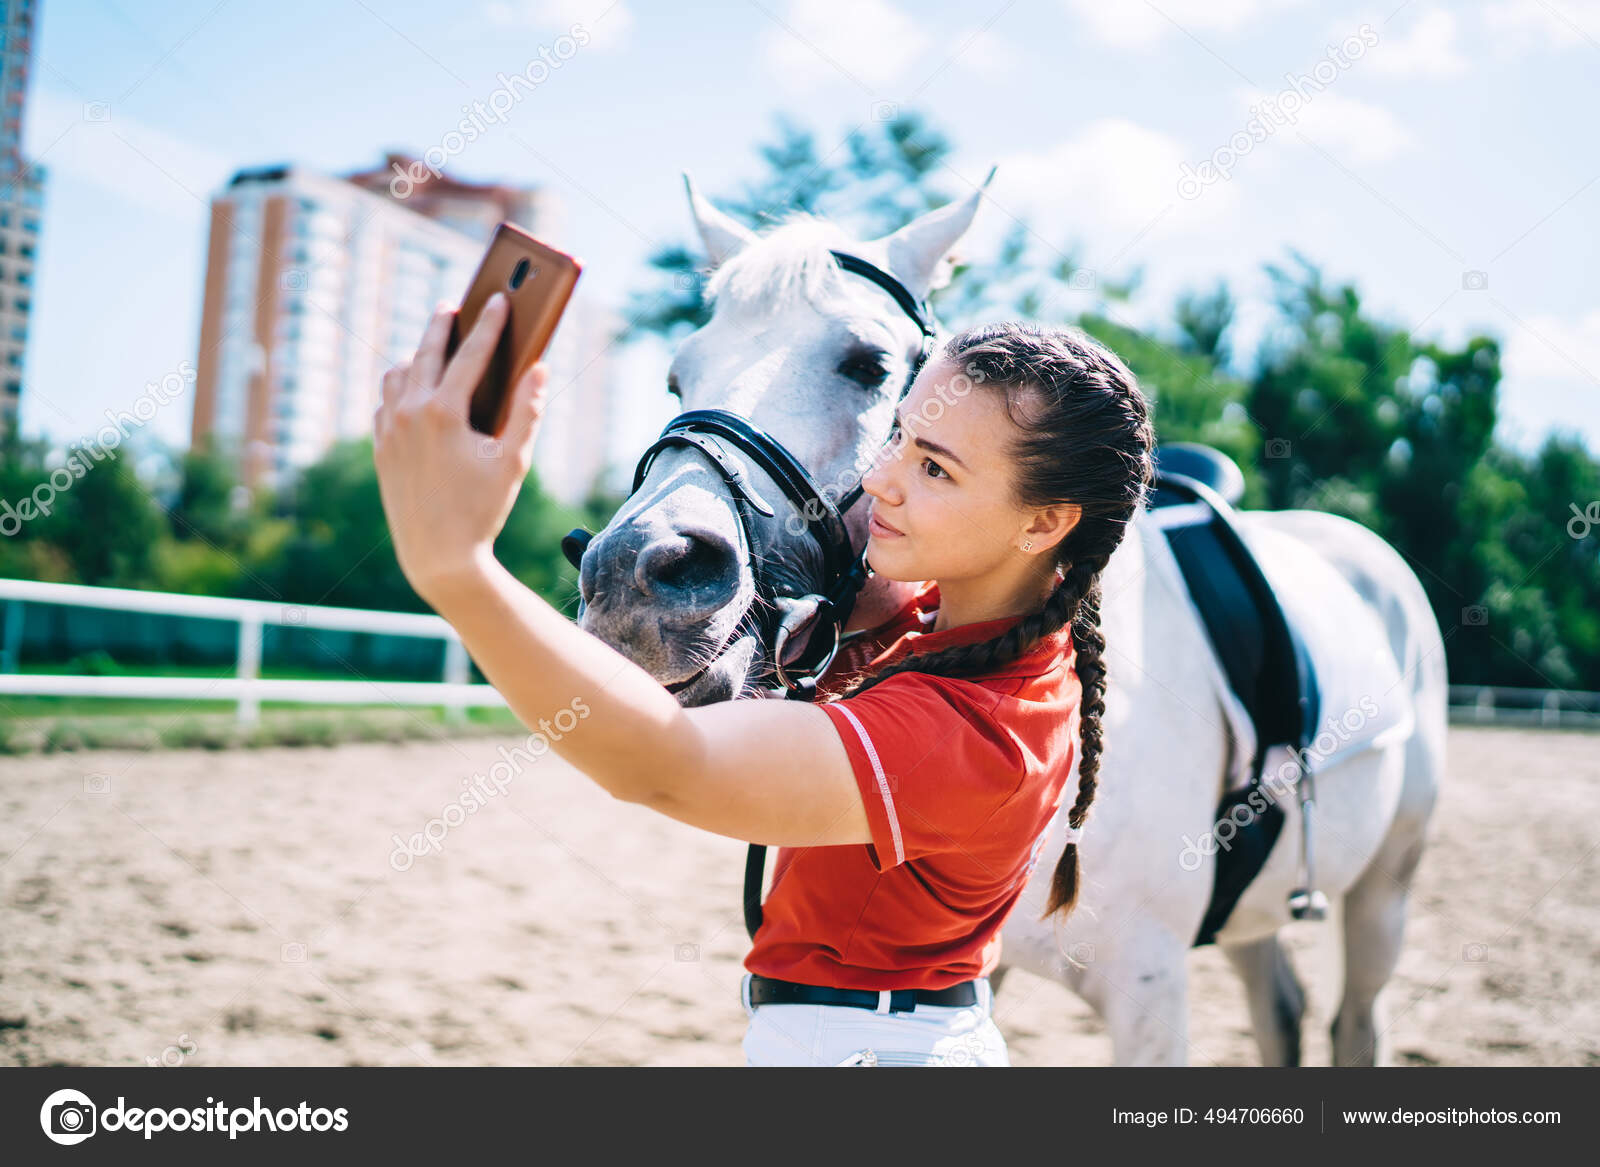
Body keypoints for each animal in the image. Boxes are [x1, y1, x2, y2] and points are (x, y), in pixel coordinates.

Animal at [570, 174, 1448, 1066]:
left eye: (866, 364)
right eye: (678, 378)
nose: (639, 574)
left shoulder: (1151, 992)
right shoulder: (980, 972)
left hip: (1386, 889)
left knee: (1354, 1019)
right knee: (1282, 1009)